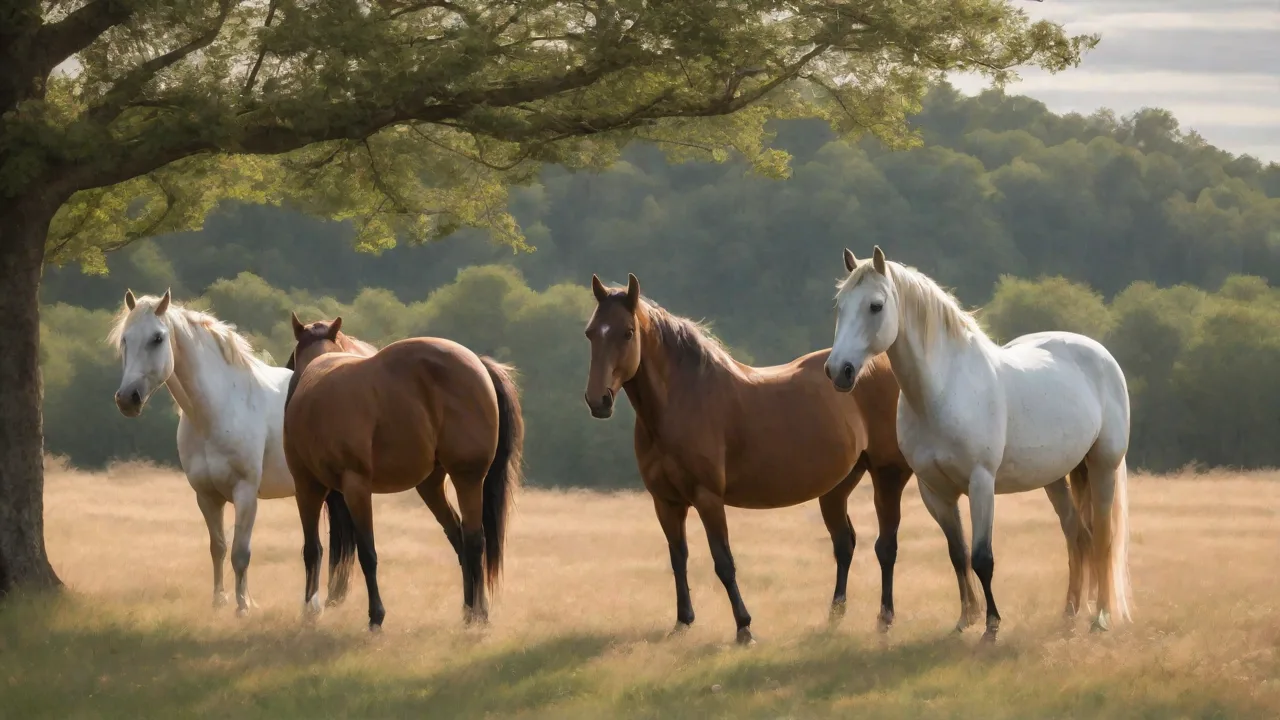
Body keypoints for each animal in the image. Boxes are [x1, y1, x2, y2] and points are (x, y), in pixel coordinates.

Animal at [108, 290, 358, 615]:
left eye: (157, 338)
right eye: (125, 339)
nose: (128, 399)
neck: (219, 408)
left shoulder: (245, 492)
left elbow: (241, 552)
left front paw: (243, 606)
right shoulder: (206, 496)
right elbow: (218, 547)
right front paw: (219, 601)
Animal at [283, 313, 524, 631]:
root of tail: (480, 365)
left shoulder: (337, 487)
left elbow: (361, 551)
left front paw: (374, 615)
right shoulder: (317, 489)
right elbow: (317, 550)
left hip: (467, 479)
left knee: (474, 541)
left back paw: (478, 614)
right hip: (431, 486)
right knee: (460, 539)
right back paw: (470, 609)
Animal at [584, 274, 914, 645]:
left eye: (627, 332)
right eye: (591, 332)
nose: (598, 400)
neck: (682, 400)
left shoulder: (708, 498)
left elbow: (723, 563)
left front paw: (744, 627)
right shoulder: (665, 502)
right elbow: (678, 559)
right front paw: (683, 621)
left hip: (887, 475)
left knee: (886, 546)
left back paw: (885, 618)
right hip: (837, 487)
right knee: (845, 544)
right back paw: (835, 614)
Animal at [827, 247, 1130, 642]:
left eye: (875, 306)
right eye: (840, 305)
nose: (838, 371)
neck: (944, 389)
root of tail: (1102, 355)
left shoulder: (981, 483)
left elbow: (982, 557)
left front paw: (991, 626)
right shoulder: (935, 491)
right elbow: (958, 553)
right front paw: (965, 619)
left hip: (1103, 466)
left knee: (1103, 540)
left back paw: (1101, 618)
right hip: (1056, 478)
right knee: (1077, 535)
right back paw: (1069, 613)